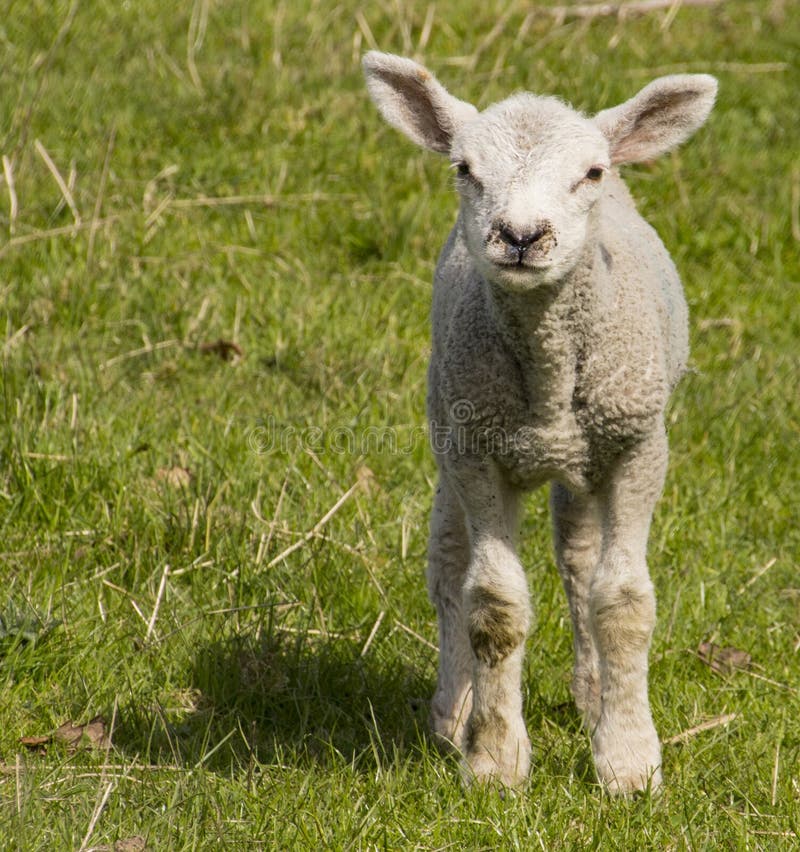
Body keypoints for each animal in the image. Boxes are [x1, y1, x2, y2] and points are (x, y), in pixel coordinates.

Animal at [362, 51, 716, 793]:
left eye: (592, 173)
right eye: (464, 168)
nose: (521, 237)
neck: (551, 373)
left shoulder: (639, 446)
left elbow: (624, 601)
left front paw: (628, 759)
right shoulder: (476, 451)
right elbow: (494, 605)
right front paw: (495, 760)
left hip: (585, 456)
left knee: (579, 558)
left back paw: (593, 693)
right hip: (449, 428)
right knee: (448, 561)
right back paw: (452, 711)